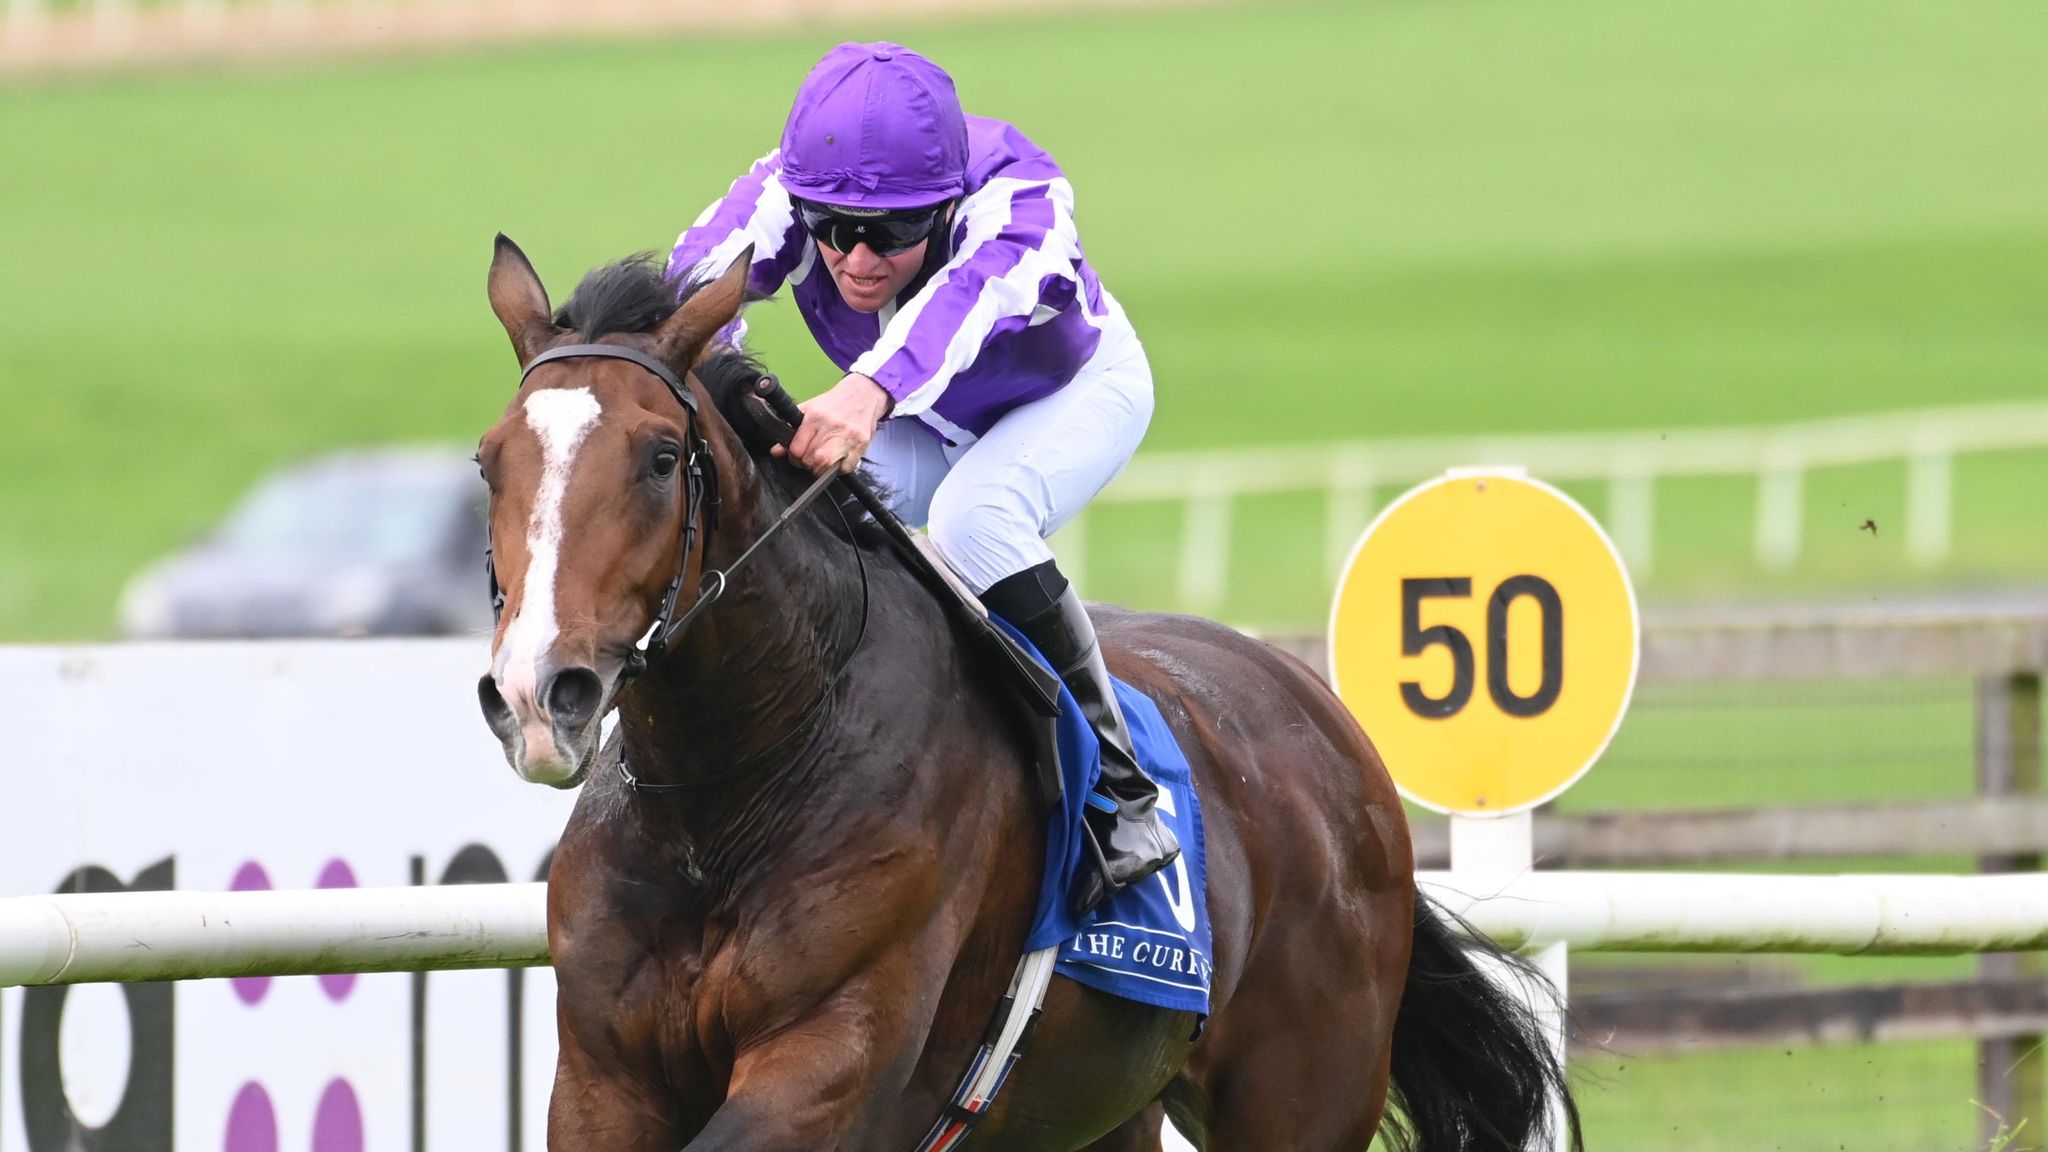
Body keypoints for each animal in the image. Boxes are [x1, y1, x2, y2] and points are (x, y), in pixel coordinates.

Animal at [473, 235, 1581, 1152]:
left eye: (661, 458)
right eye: (490, 463)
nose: (540, 694)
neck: (730, 794)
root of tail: (1318, 712)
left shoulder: (826, 1060)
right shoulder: (604, 1079)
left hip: (1306, 1088)